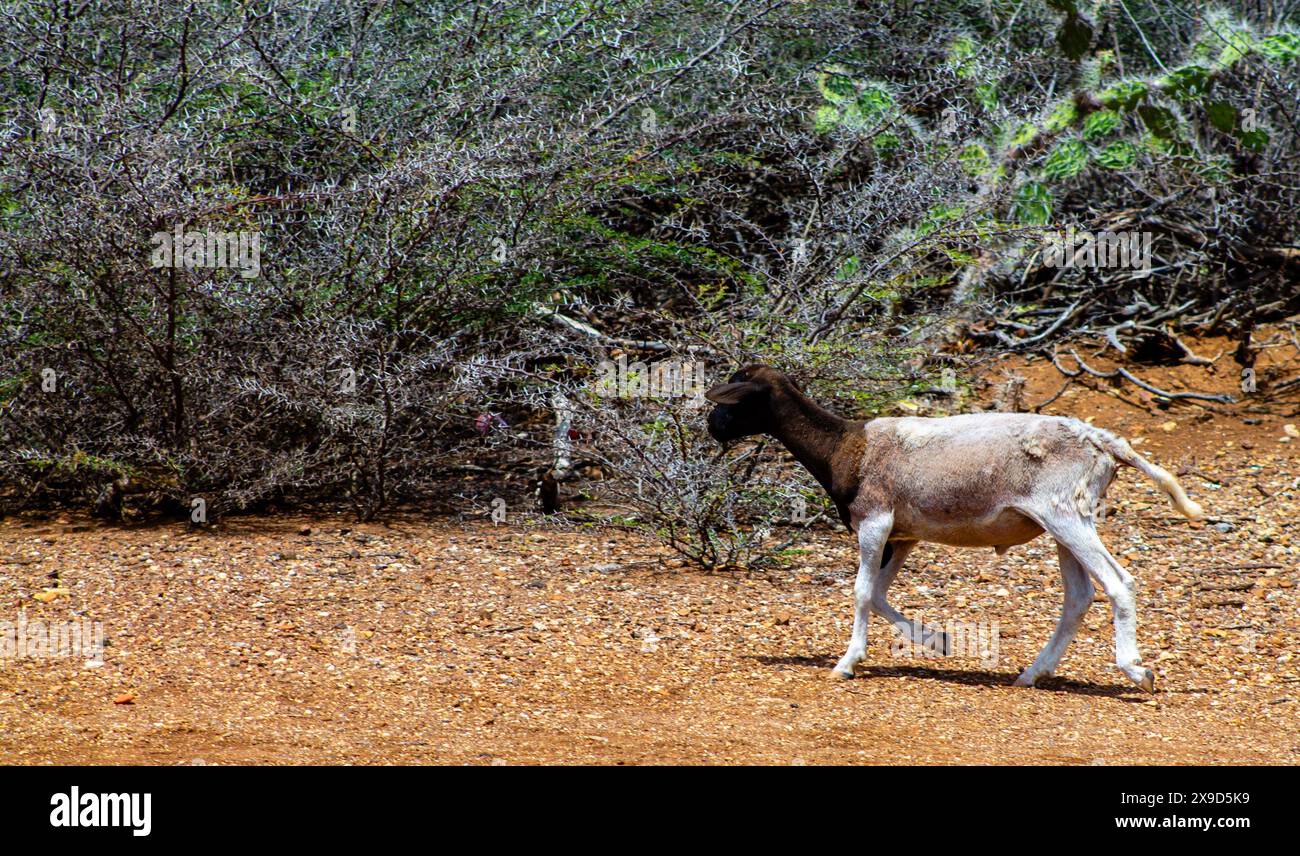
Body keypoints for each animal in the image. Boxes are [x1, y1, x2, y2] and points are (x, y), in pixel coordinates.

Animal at [704, 364, 1205, 692]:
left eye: (738, 399)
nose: (712, 427)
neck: (842, 446)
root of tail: (1104, 441)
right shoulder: (903, 536)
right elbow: (879, 593)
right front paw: (937, 640)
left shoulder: (875, 520)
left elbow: (862, 593)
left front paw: (847, 663)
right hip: (1067, 520)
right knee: (1079, 597)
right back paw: (1032, 674)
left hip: (1065, 515)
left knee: (1119, 584)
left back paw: (1137, 671)